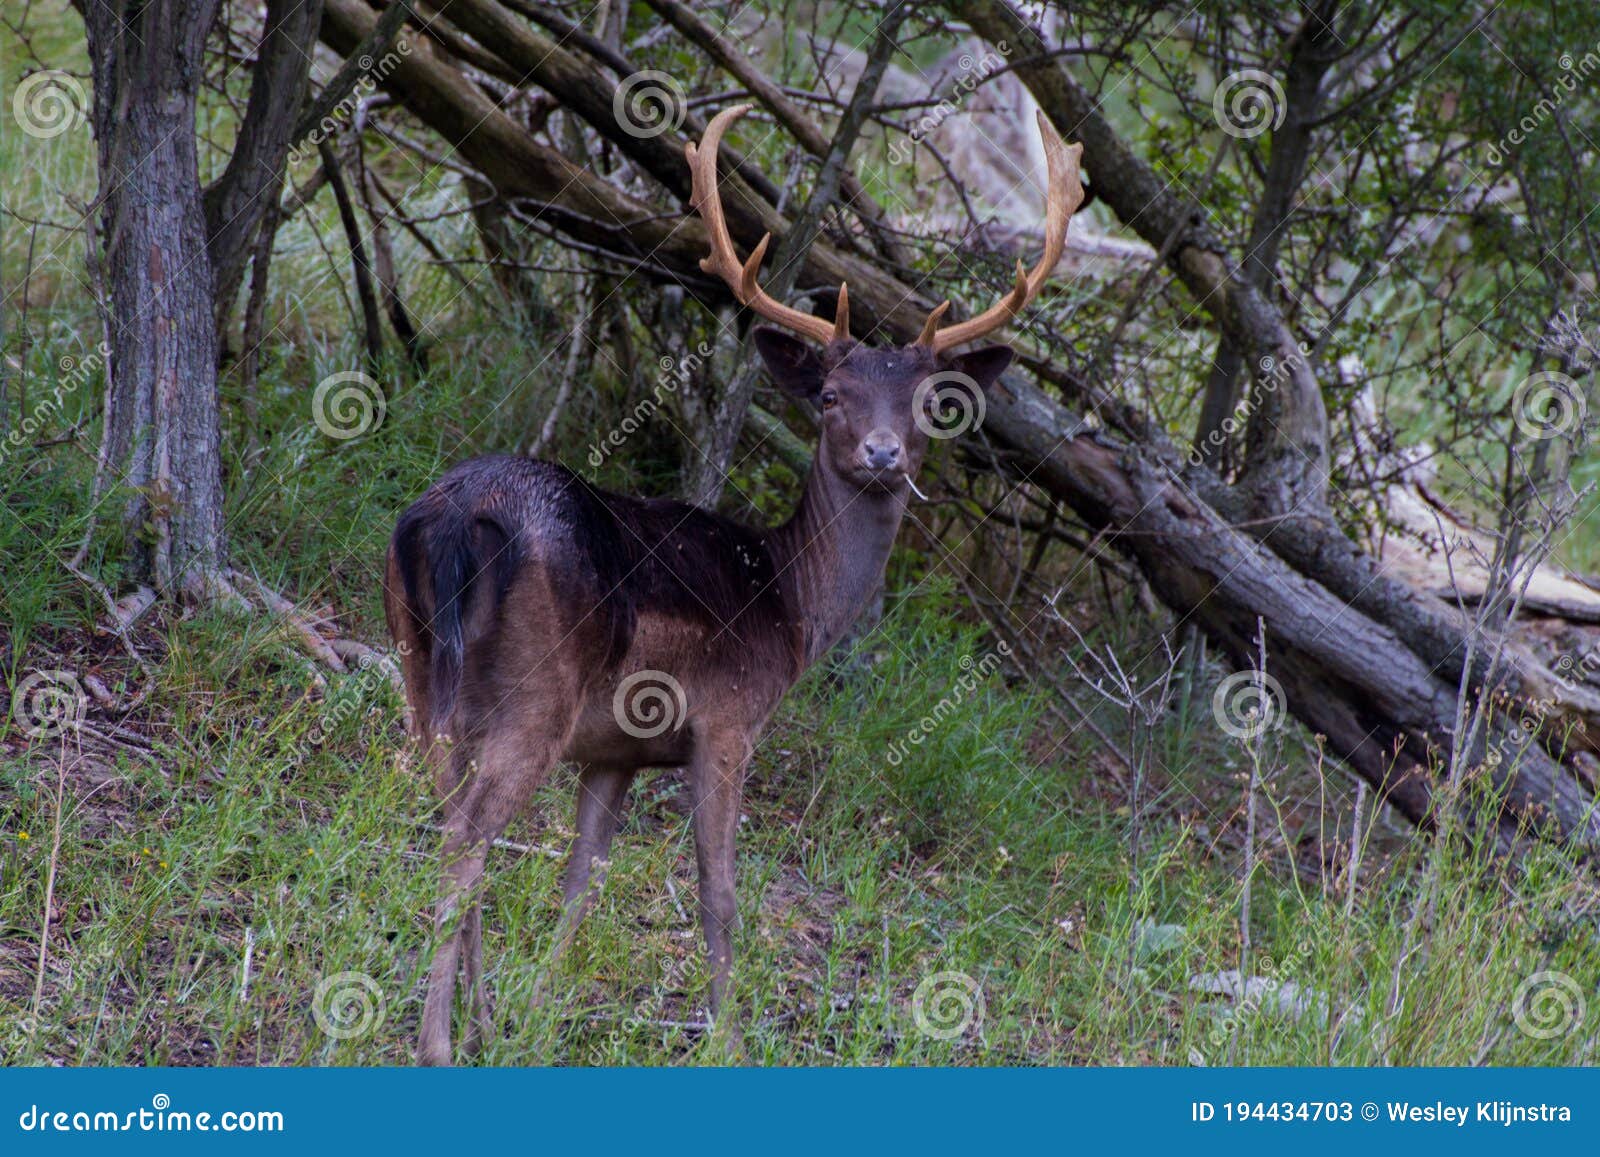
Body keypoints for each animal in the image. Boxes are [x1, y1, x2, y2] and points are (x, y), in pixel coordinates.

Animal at [384, 104, 1083, 1065]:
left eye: (929, 403)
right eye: (829, 395)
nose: (884, 455)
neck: (793, 604)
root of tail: (455, 515)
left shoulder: (616, 749)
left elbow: (581, 876)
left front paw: (537, 1010)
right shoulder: (728, 718)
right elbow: (719, 892)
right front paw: (726, 1038)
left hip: (418, 662)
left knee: (451, 820)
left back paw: (473, 1020)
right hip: (536, 691)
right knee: (464, 836)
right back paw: (437, 1043)